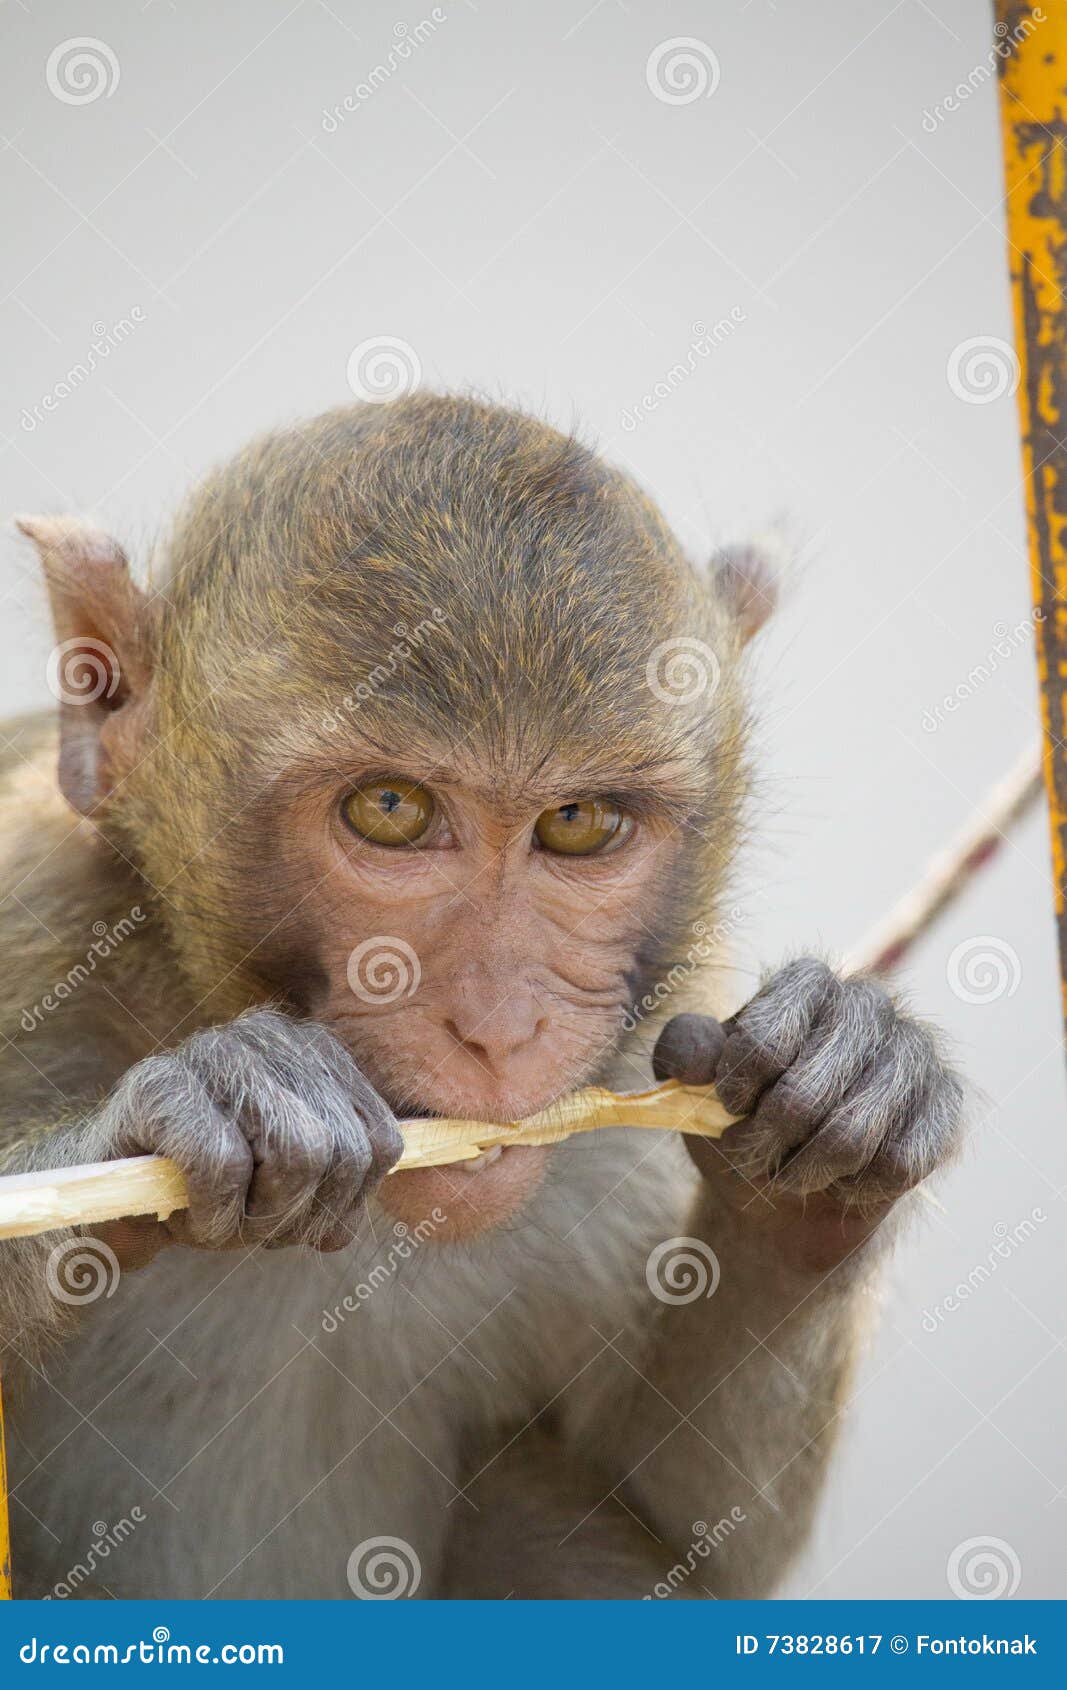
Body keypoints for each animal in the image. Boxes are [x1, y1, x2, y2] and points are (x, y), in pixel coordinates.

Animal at [0, 394, 963, 1600]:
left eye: (580, 824)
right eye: (391, 809)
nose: (502, 1029)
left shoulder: (654, 1060)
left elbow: (701, 1530)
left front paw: (837, 1121)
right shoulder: (27, 913)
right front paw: (202, 1104)